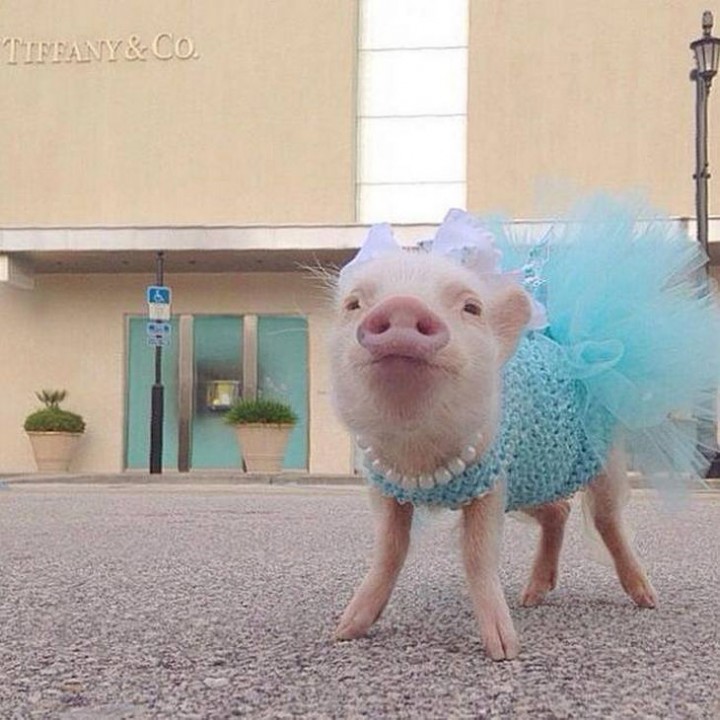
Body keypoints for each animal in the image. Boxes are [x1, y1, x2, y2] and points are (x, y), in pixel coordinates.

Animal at [326, 209, 699, 661]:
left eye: (471, 307)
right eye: (353, 304)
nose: (402, 306)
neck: (420, 456)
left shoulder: (491, 483)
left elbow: (477, 554)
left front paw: (503, 650)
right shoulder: (385, 487)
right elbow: (388, 550)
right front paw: (344, 631)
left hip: (596, 462)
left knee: (607, 519)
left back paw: (646, 598)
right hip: (530, 482)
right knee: (559, 511)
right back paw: (532, 595)